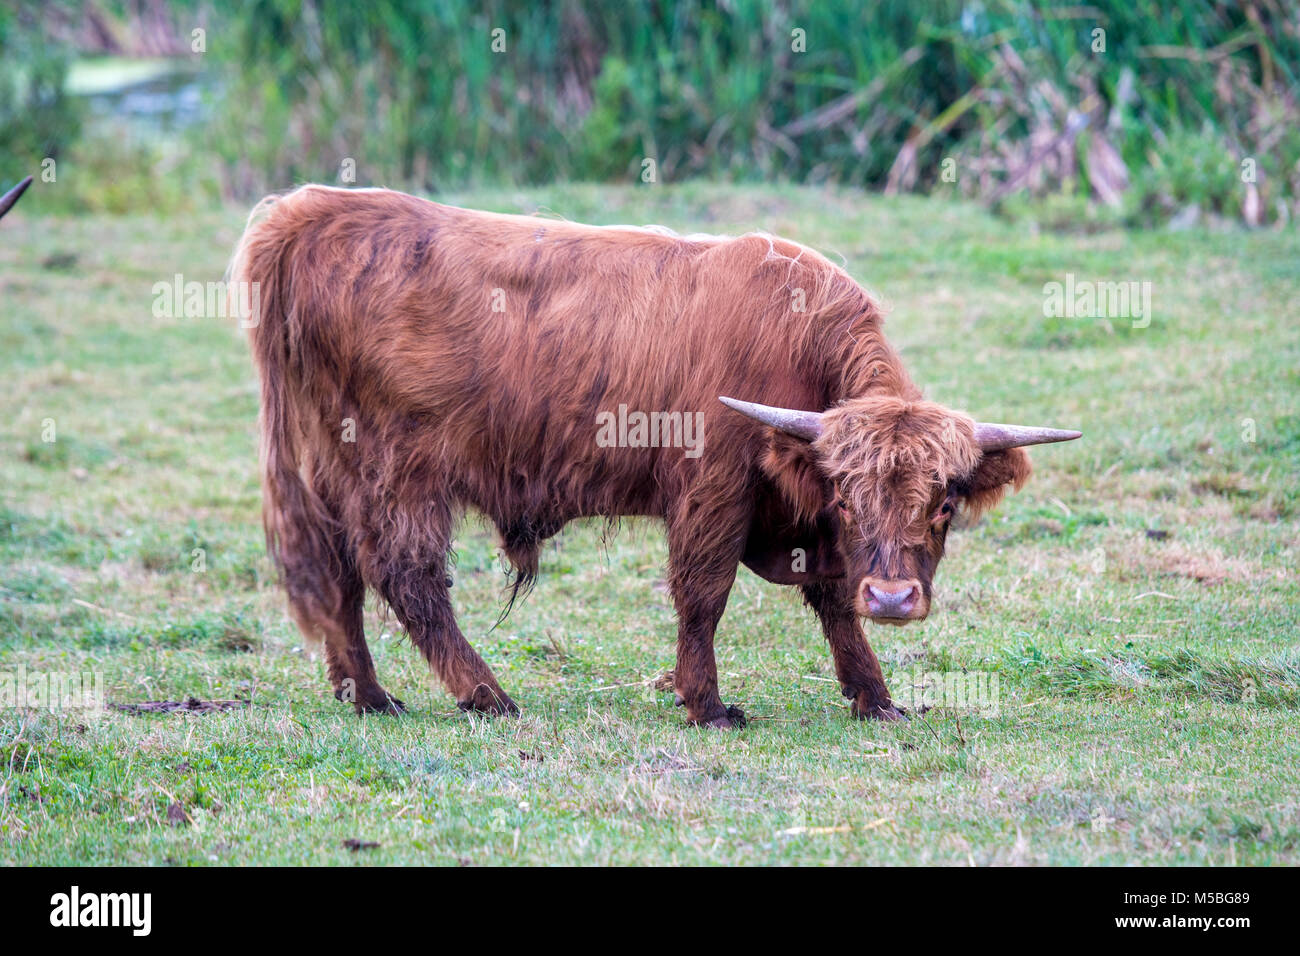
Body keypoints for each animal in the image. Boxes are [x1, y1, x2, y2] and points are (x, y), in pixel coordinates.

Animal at [231, 185, 1079, 728]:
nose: (897, 599)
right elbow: (703, 597)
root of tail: (309, 211)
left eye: (944, 503)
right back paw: (487, 696)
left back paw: (367, 695)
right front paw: (706, 705)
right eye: (849, 497)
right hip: (397, 469)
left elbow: (834, 599)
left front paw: (874, 697)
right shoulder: (714, 490)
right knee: (405, 577)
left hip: (328, 468)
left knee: (339, 575)